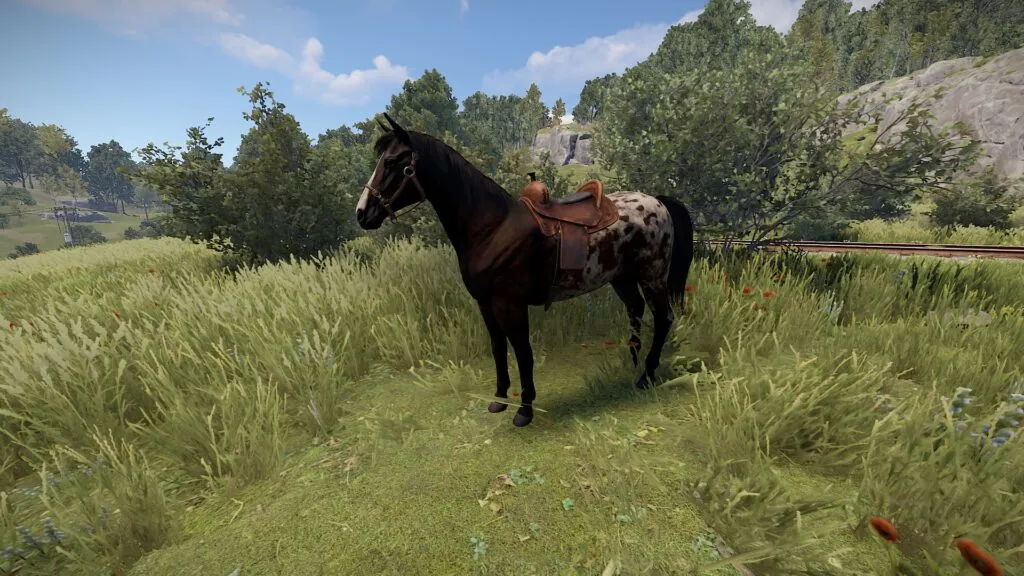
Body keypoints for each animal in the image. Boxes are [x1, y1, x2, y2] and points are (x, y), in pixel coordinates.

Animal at [355, 113, 694, 428]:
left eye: (392, 162)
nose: (362, 213)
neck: (493, 228)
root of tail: (657, 201)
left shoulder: (511, 303)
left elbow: (521, 350)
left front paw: (525, 409)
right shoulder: (485, 302)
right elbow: (497, 346)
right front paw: (499, 399)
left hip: (652, 276)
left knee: (663, 317)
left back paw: (646, 375)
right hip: (621, 278)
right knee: (635, 311)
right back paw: (631, 363)